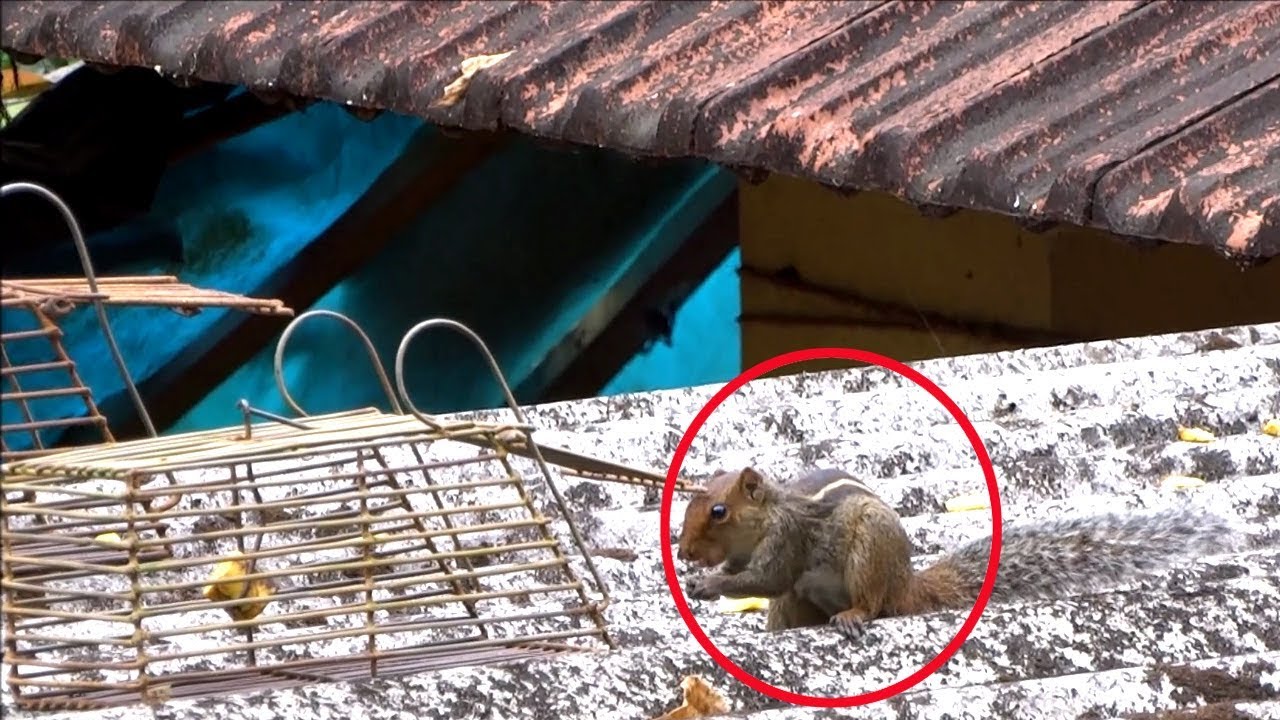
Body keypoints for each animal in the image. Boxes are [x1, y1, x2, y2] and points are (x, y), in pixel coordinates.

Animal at [676, 466, 1238, 637]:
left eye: (719, 511)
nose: (682, 552)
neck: (771, 513)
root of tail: (907, 585)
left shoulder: (787, 542)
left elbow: (763, 578)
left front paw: (709, 584)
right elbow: (748, 574)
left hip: (869, 558)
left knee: (874, 603)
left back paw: (855, 615)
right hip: (800, 601)